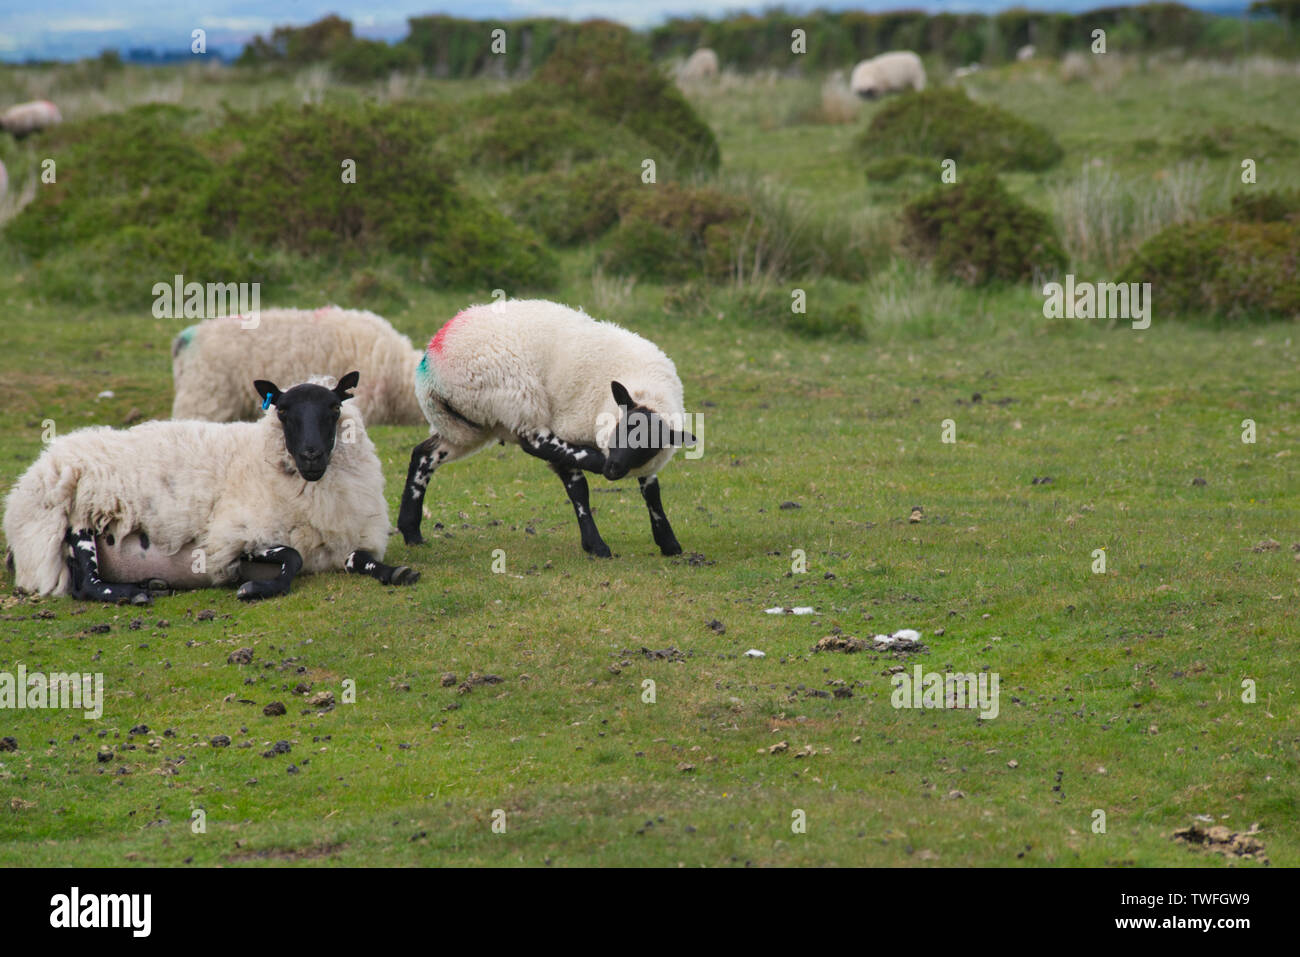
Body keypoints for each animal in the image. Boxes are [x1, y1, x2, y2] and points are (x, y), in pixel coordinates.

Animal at [3, 372, 418, 604]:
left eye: (334, 408)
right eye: (282, 411)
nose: (311, 455)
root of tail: (39, 467)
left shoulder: (341, 543)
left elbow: (359, 558)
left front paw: (396, 572)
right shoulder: (232, 538)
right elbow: (292, 558)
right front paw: (254, 589)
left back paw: (150, 582)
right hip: (80, 516)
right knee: (84, 583)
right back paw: (134, 594)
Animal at [398, 300, 696, 558]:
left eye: (649, 445)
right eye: (622, 430)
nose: (613, 470)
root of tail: (431, 362)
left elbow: (651, 490)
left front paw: (668, 542)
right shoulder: (569, 428)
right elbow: (579, 488)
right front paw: (596, 546)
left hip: (473, 426)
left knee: (424, 455)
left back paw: (411, 531)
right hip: (516, 400)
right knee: (534, 442)